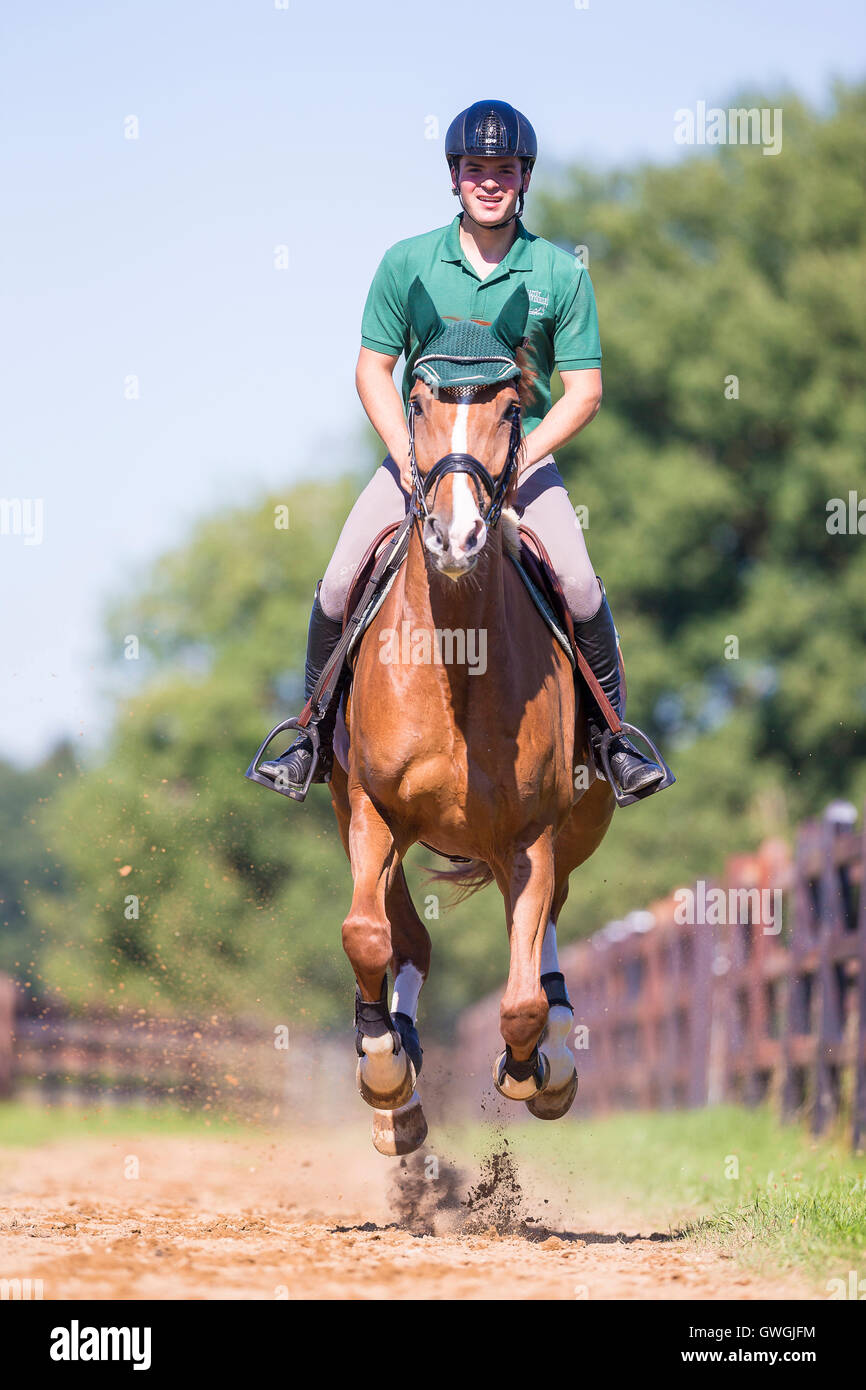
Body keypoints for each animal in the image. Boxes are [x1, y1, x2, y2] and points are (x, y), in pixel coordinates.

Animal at [328, 279, 616, 1154]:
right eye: (419, 402)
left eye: (512, 407)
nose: (456, 536)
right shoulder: (372, 810)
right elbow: (368, 936)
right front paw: (385, 1070)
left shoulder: (530, 836)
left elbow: (519, 1000)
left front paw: (530, 1068)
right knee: (403, 937)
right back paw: (399, 1088)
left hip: (572, 832)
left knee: (546, 937)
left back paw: (554, 1059)